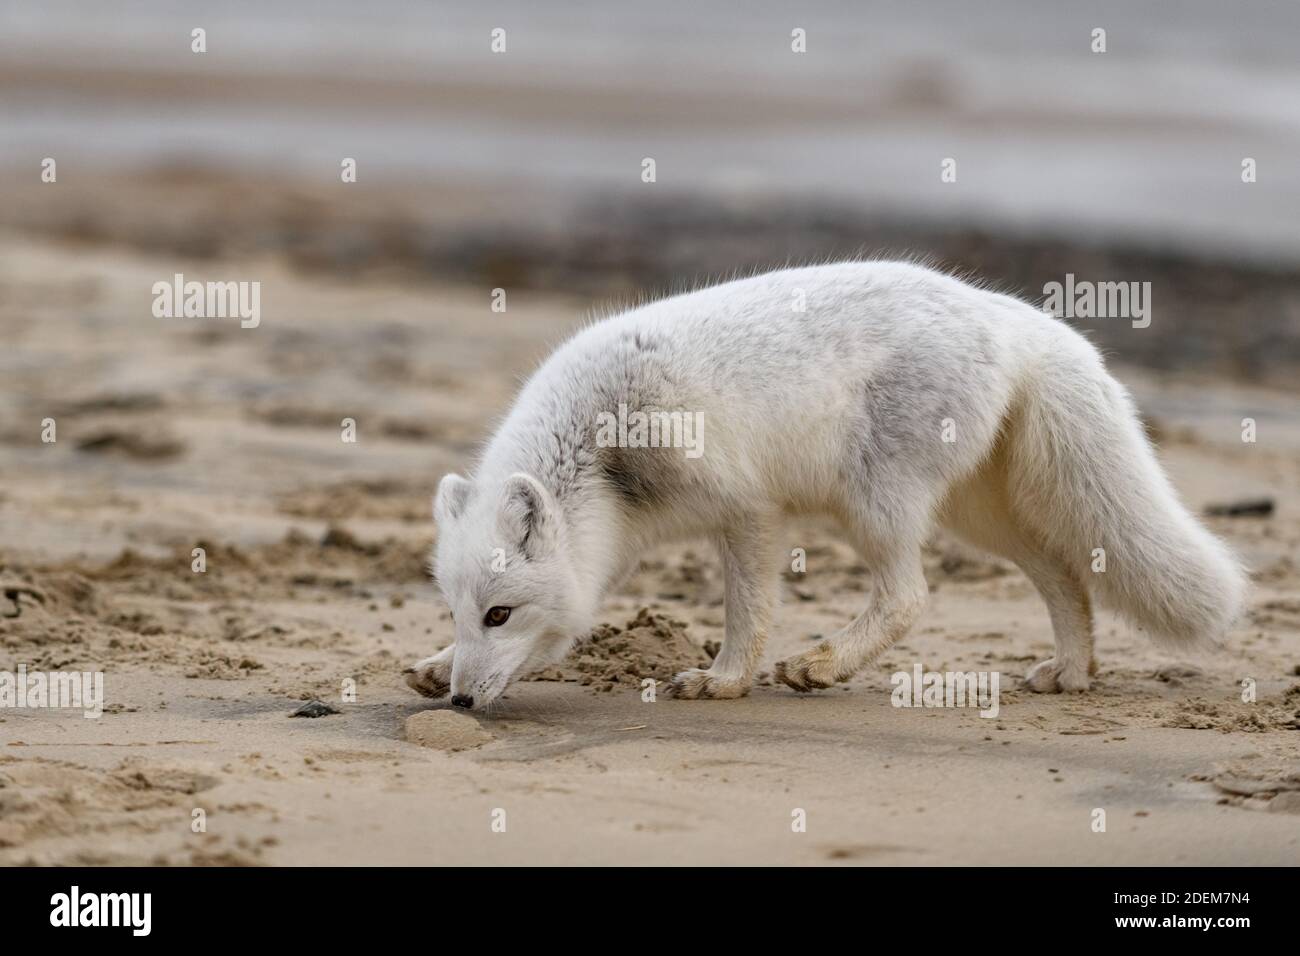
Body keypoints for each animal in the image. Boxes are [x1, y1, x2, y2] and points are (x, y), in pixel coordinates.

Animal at [405, 261, 1247, 711]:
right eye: (457, 612)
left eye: (501, 613)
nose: (462, 704)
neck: (603, 454)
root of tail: (1009, 316)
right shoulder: (639, 536)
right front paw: (439, 664)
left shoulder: (747, 510)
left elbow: (747, 612)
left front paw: (725, 681)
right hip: (981, 518)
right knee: (1065, 575)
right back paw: (1071, 672)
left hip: (873, 501)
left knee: (911, 596)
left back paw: (823, 665)